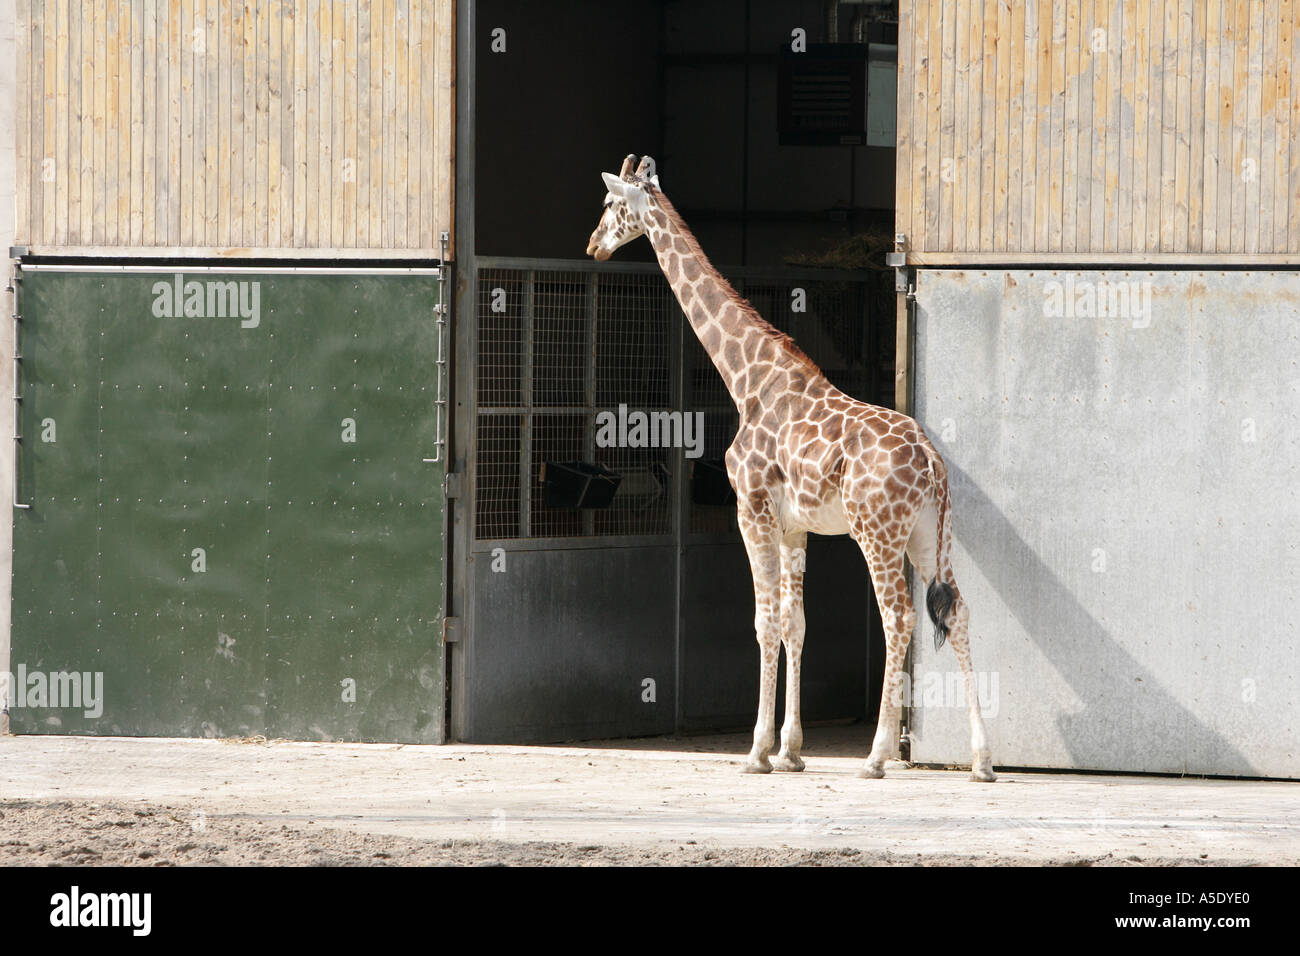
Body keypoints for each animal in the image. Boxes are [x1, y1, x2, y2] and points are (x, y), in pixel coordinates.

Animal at [586, 155, 996, 782]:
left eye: (611, 205)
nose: (593, 246)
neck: (747, 379)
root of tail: (931, 460)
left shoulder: (750, 508)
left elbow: (765, 622)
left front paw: (757, 752)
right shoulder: (794, 525)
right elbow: (796, 623)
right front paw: (791, 750)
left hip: (877, 532)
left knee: (899, 617)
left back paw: (877, 756)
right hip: (931, 534)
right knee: (960, 610)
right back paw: (981, 760)